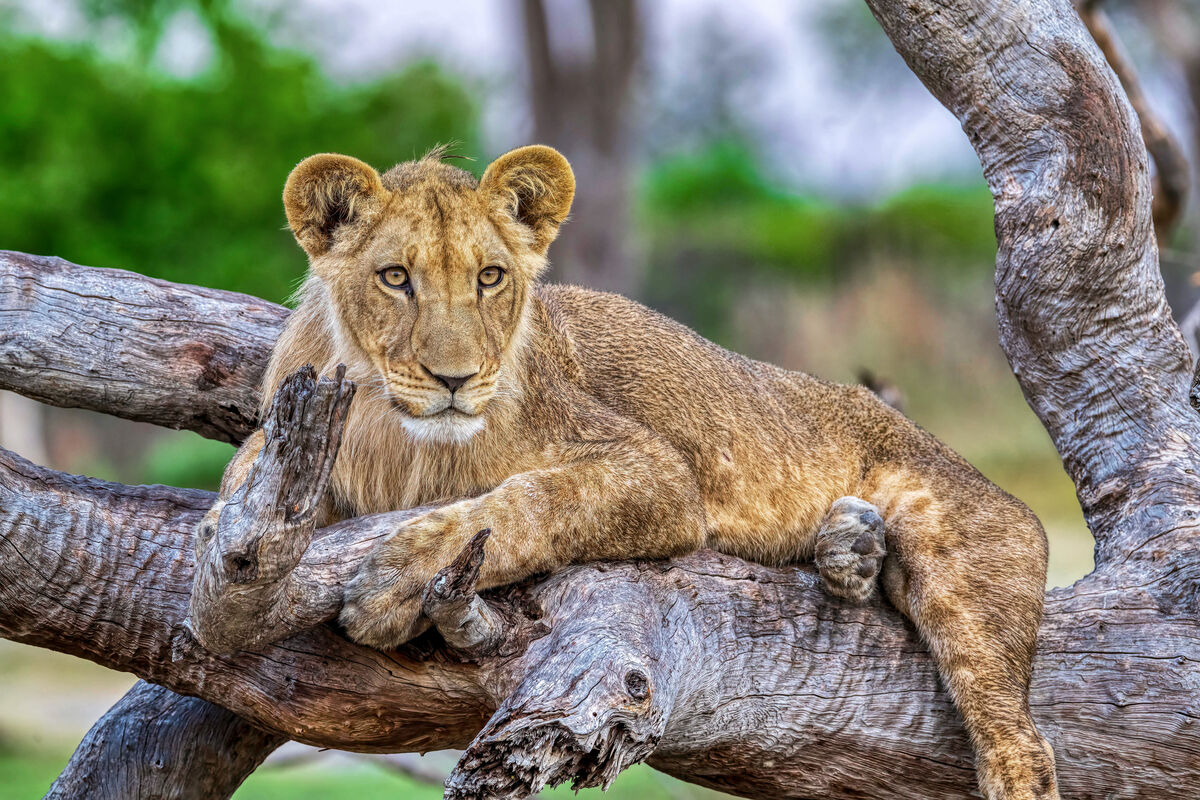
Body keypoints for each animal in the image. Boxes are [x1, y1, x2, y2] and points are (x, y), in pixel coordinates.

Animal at [207, 145, 1058, 799]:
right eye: (394, 278)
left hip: (961, 552)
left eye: (489, 278)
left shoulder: (654, 469)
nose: (455, 379)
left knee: (1022, 743)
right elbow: (249, 471)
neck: (399, 435)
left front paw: (402, 576)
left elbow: (527, 499)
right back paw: (849, 549)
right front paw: (227, 521)